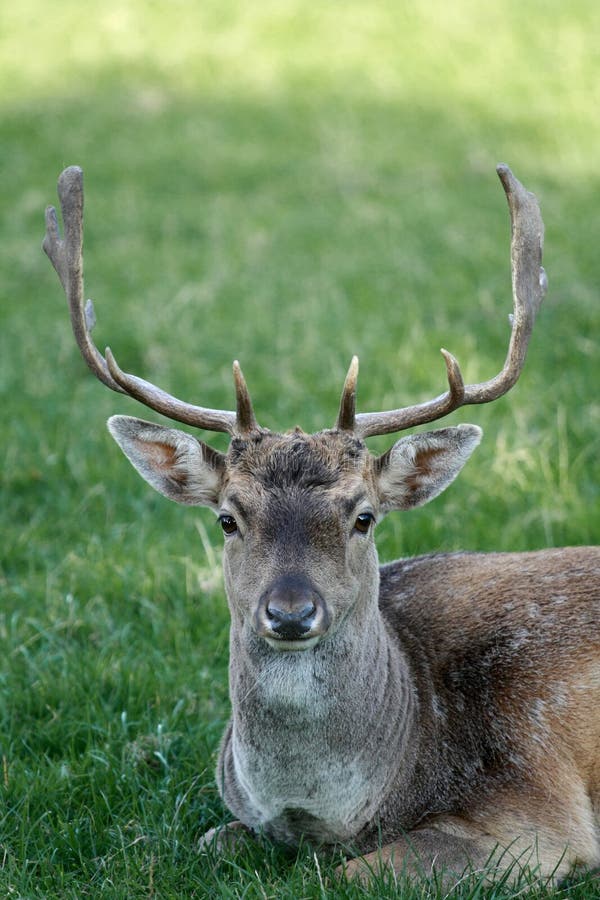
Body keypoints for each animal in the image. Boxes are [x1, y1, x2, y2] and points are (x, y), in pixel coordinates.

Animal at [43, 165, 600, 888]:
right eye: (227, 518)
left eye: (363, 516)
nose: (289, 611)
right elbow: (208, 840)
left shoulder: (537, 816)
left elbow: (346, 874)